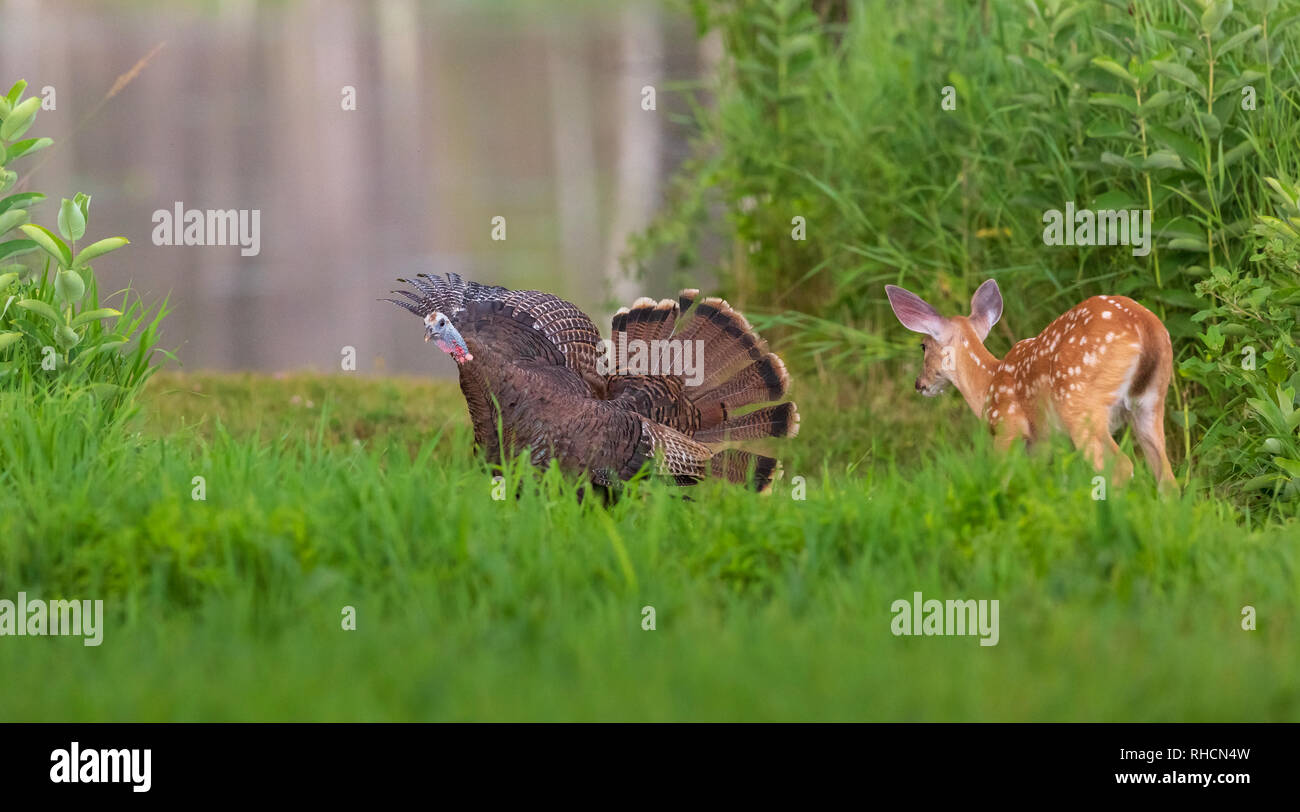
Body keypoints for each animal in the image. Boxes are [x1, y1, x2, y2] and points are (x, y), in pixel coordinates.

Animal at [884, 280, 1176, 490]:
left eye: (923, 346)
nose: (919, 384)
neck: (988, 382)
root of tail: (1145, 327)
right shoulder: (1041, 440)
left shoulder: (1006, 427)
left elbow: (1002, 477)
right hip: (1151, 402)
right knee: (1167, 477)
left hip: (1081, 404)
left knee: (1121, 467)